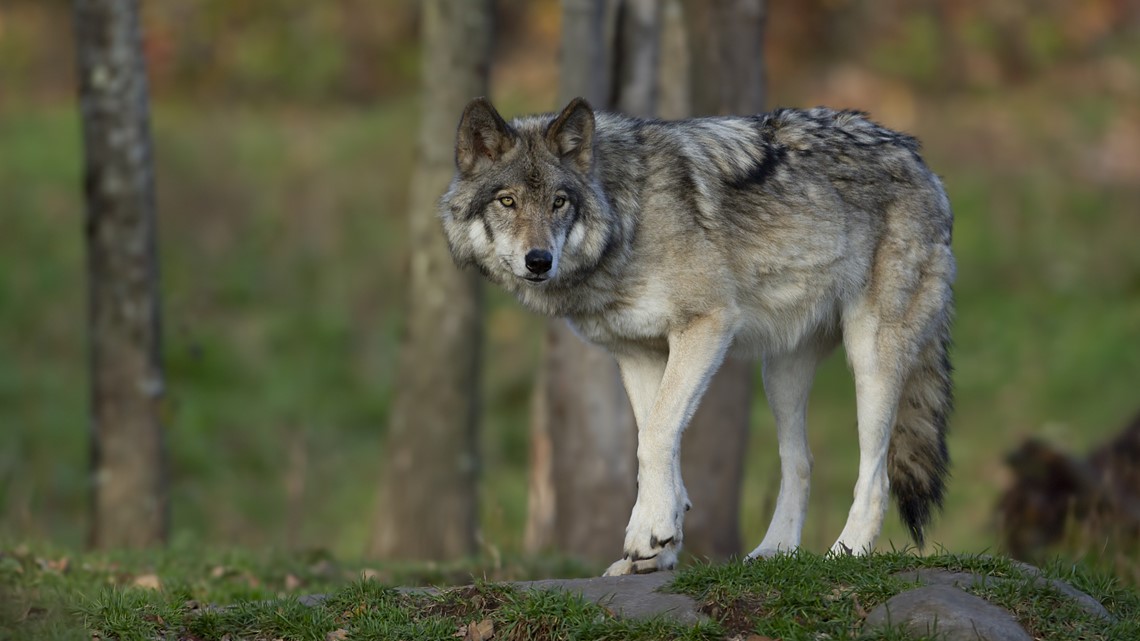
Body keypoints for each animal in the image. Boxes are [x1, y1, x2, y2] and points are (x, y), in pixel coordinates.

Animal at [439, 97, 955, 576]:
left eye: (558, 202)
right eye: (507, 201)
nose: (539, 260)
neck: (628, 218)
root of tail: (920, 159)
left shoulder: (708, 325)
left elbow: (656, 436)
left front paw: (647, 533)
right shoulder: (638, 353)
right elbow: (656, 439)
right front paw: (659, 542)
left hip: (871, 360)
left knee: (875, 475)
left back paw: (846, 553)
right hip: (780, 375)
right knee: (800, 462)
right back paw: (773, 552)